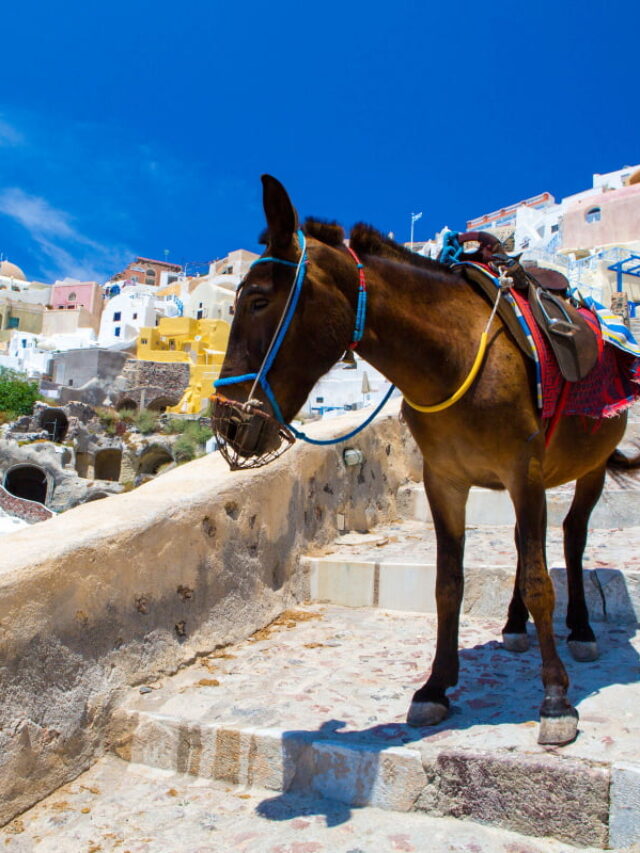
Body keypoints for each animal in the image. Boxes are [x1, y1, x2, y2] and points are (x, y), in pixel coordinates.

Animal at [212, 174, 640, 746]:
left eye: (258, 300)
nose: (227, 424)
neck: (452, 356)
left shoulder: (523, 473)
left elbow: (538, 579)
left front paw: (555, 699)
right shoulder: (445, 482)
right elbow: (448, 585)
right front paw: (435, 687)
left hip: (587, 467)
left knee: (570, 539)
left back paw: (581, 629)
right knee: (522, 543)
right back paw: (513, 625)